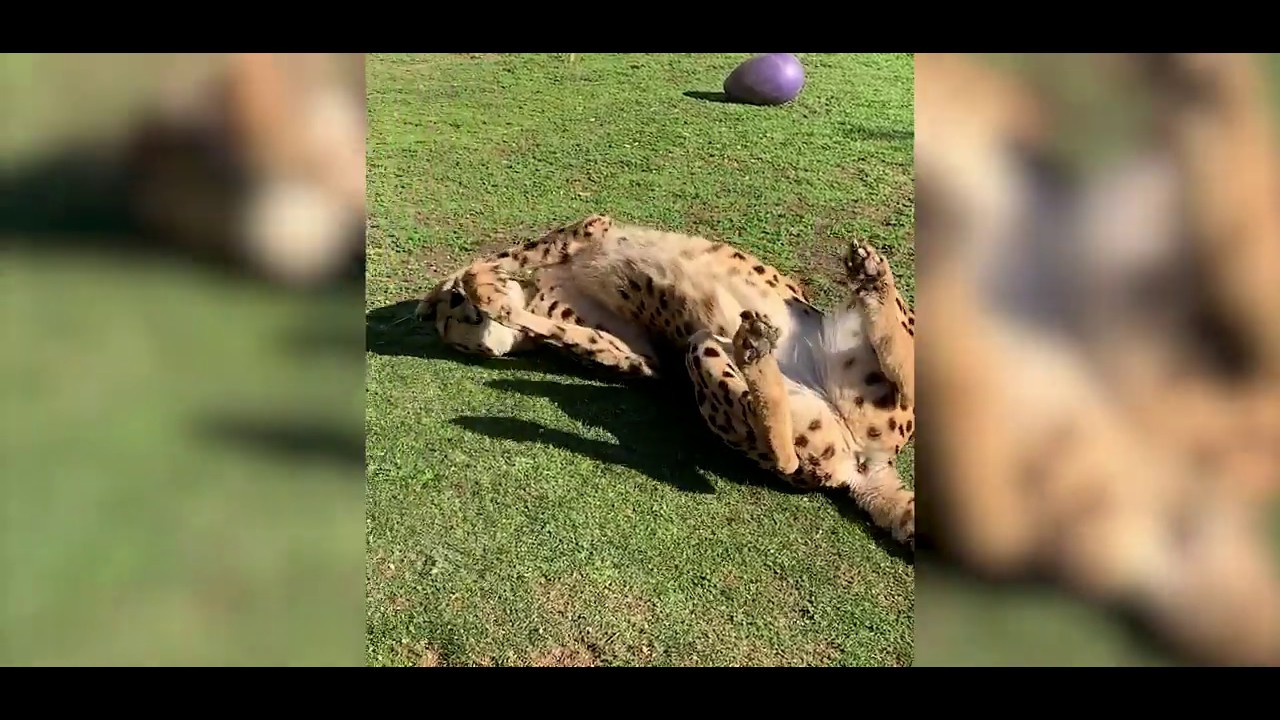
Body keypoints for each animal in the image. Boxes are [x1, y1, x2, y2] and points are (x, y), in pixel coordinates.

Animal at [415, 215, 917, 548]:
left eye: (447, 309)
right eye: (453, 326)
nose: (458, 305)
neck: (535, 290)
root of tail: (863, 468)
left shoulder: (593, 224)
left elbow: (519, 250)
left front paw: (481, 280)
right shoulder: (641, 356)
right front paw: (492, 296)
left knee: (909, 366)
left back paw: (872, 277)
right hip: (708, 352)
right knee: (787, 455)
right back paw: (756, 347)